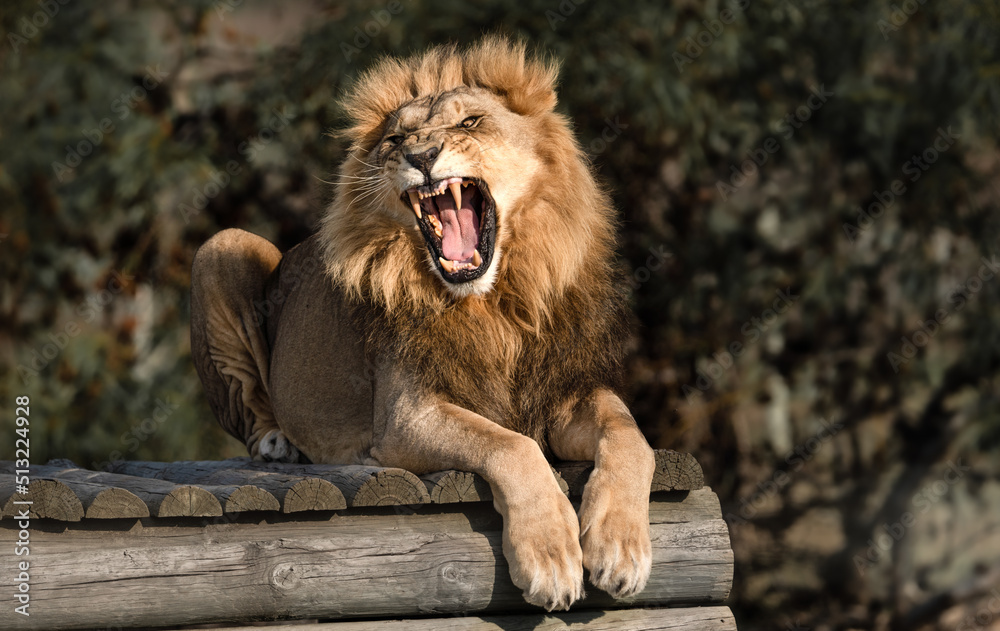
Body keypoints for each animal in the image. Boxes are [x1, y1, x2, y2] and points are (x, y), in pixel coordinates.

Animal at [190, 36, 655, 611]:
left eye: (471, 122)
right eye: (396, 139)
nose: (421, 156)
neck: (494, 304)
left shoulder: (561, 393)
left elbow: (630, 435)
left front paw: (620, 548)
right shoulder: (407, 415)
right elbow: (510, 446)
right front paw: (550, 559)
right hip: (222, 245)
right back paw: (280, 442)